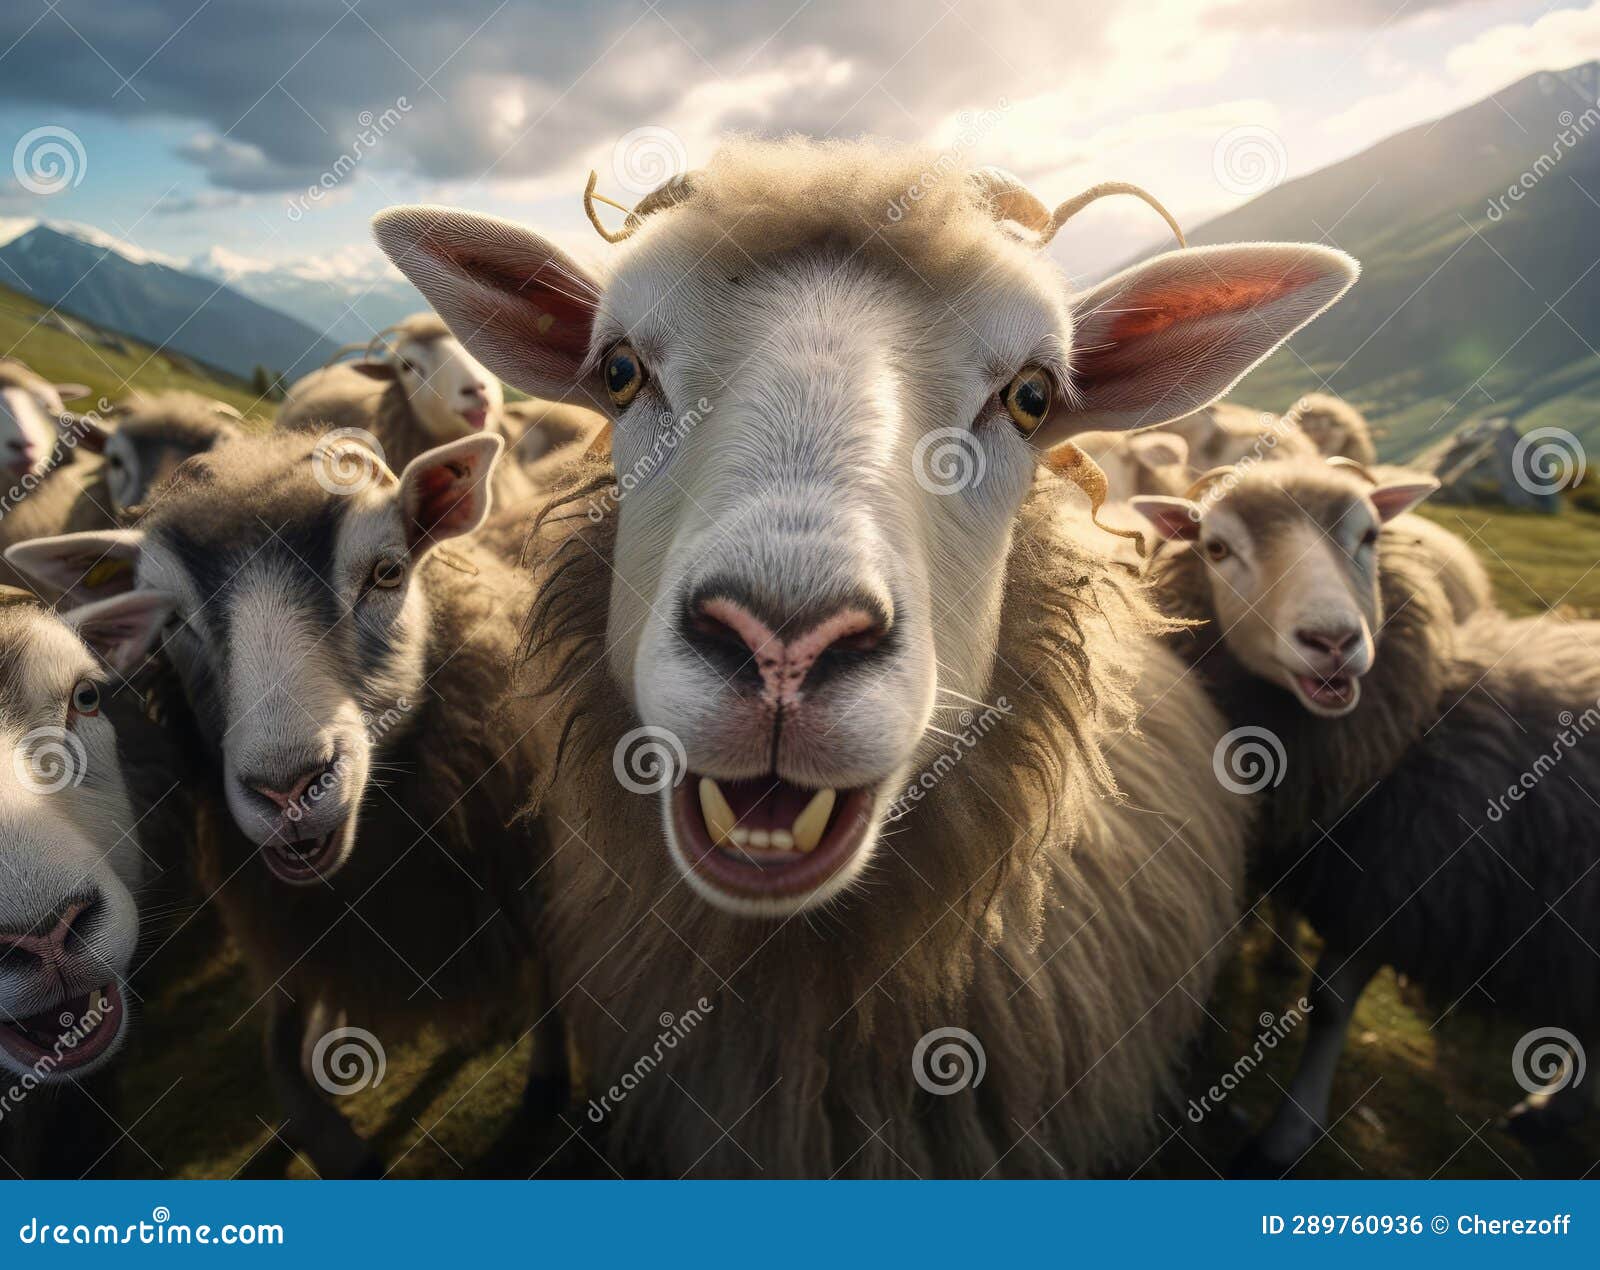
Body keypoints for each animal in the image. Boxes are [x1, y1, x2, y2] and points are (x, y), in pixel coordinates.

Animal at [1134, 459, 1600, 1174]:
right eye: (1215, 548)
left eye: (1371, 534)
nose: (1332, 640)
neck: (1408, 736)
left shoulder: (1387, 886)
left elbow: (1328, 1004)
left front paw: (1286, 1134)